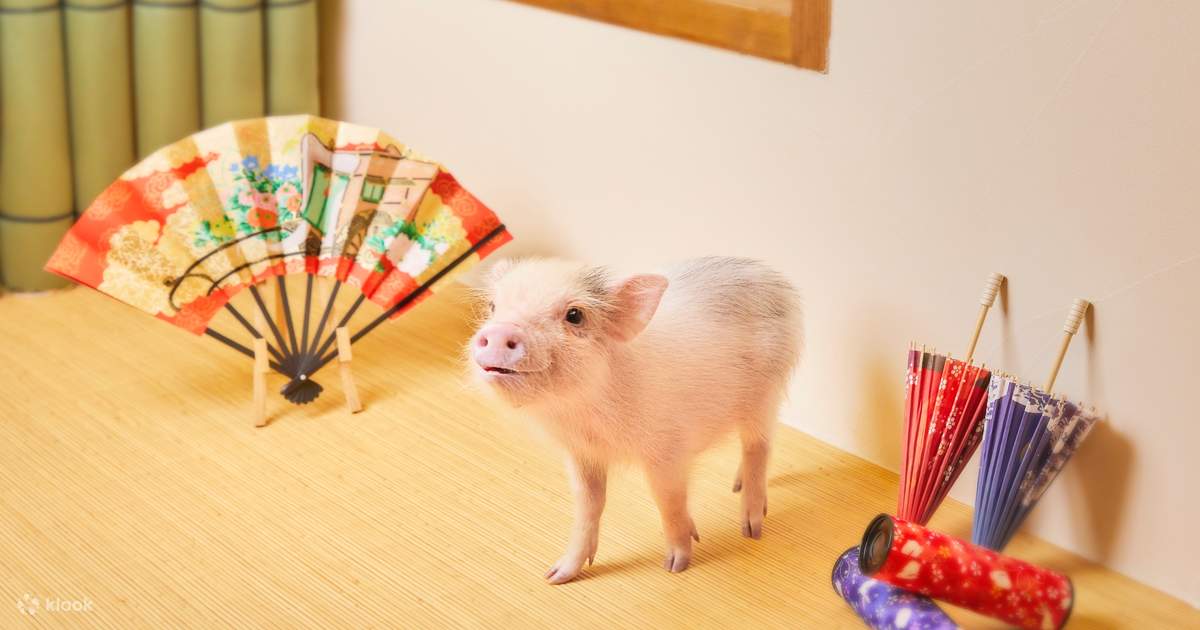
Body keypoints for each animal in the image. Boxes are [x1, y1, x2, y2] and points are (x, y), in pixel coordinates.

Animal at [468, 256, 802, 584]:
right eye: (494, 306)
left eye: (575, 315)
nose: (500, 331)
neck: (585, 414)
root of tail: (774, 277)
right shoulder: (580, 453)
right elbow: (588, 503)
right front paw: (555, 576)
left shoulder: (666, 453)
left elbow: (668, 502)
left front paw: (676, 566)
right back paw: (735, 486)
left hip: (765, 393)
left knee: (760, 445)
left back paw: (751, 528)